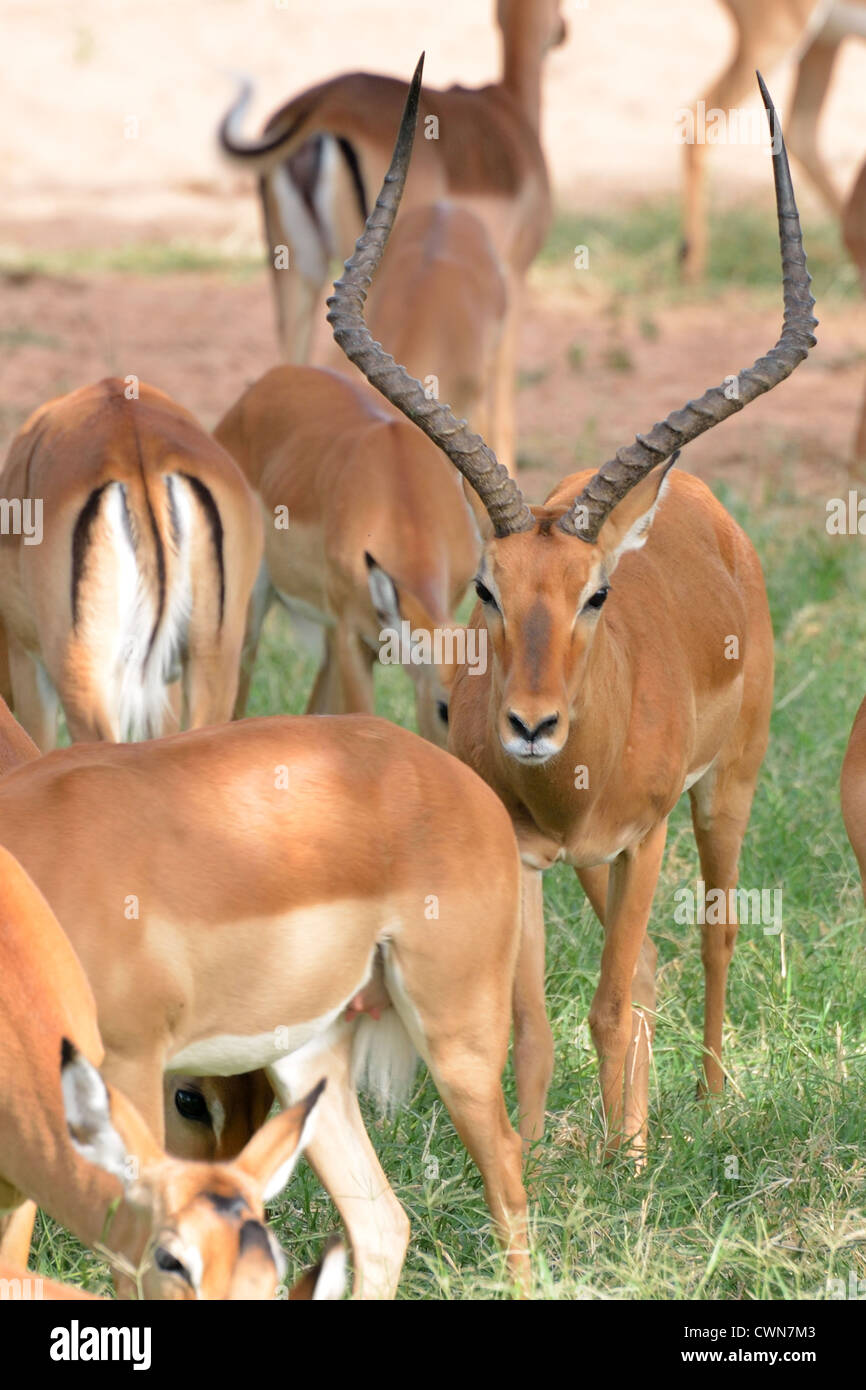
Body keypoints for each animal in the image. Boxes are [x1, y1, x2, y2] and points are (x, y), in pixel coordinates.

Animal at [217, 0, 566, 469]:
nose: (562, 30)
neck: (511, 114)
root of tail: (319, 109)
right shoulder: (517, 277)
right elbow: (503, 409)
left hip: (296, 273)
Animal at [328, 60, 816, 1155]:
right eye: (487, 587)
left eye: (595, 592)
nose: (532, 724)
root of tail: (707, 507)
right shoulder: (525, 854)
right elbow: (537, 1019)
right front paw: (547, 1162)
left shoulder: (646, 836)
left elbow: (606, 999)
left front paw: (627, 1163)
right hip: (594, 863)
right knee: (642, 972)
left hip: (724, 792)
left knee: (710, 937)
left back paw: (707, 1100)